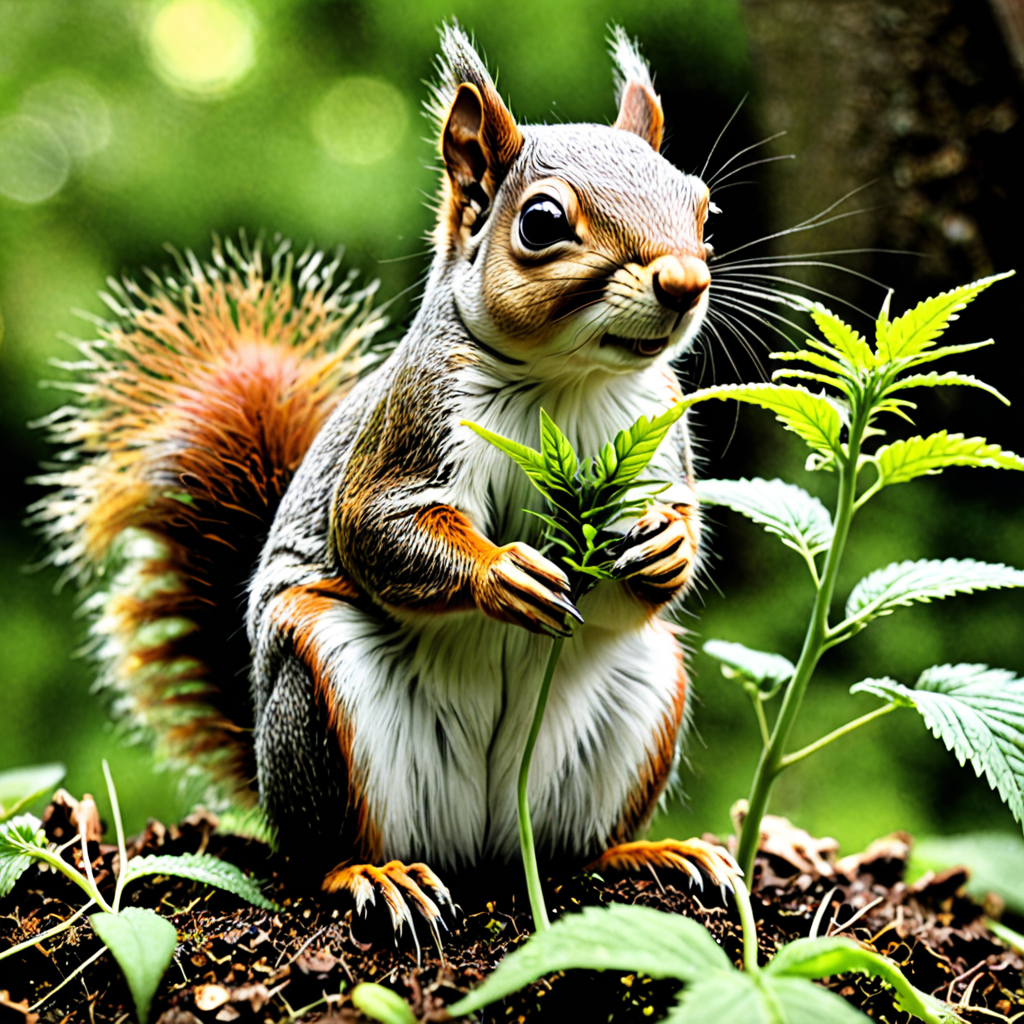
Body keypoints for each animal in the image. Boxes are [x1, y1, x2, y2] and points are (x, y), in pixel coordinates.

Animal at [36, 25, 739, 940]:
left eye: (704, 211)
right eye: (541, 222)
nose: (685, 282)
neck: (566, 384)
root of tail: (481, 842)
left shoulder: (657, 437)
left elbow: (666, 547)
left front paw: (667, 546)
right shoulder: (409, 432)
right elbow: (374, 529)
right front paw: (501, 572)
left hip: (641, 695)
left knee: (567, 855)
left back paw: (648, 854)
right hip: (321, 690)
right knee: (324, 853)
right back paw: (376, 874)